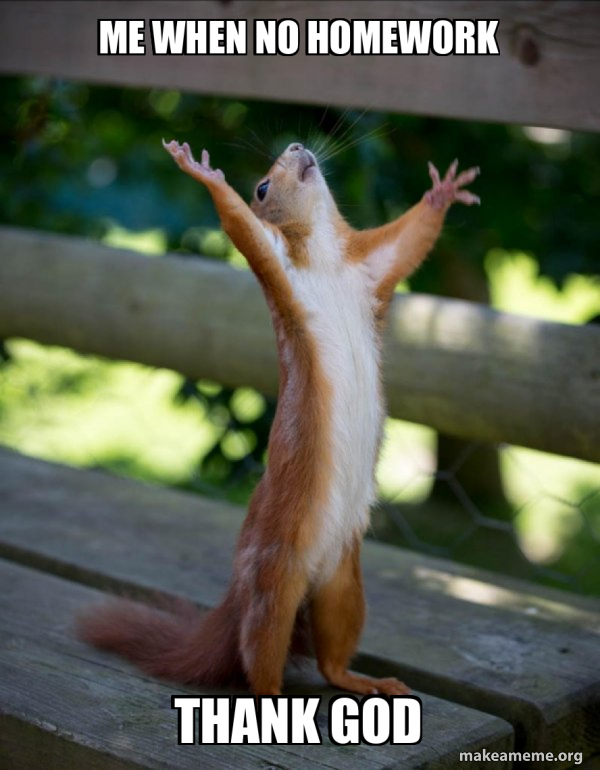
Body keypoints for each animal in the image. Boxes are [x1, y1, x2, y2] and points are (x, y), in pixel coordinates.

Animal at [77, 138, 479, 697]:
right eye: (263, 187)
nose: (296, 146)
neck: (327, 258)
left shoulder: (372, 267)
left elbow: (410, 239)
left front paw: (442, 193)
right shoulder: (277, 264)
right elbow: (240, 226)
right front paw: (204, 173)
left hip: (344, 586)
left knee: (332, 656)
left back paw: (365, 680)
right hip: (273, 583)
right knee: (259, 657)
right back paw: (274, 694)